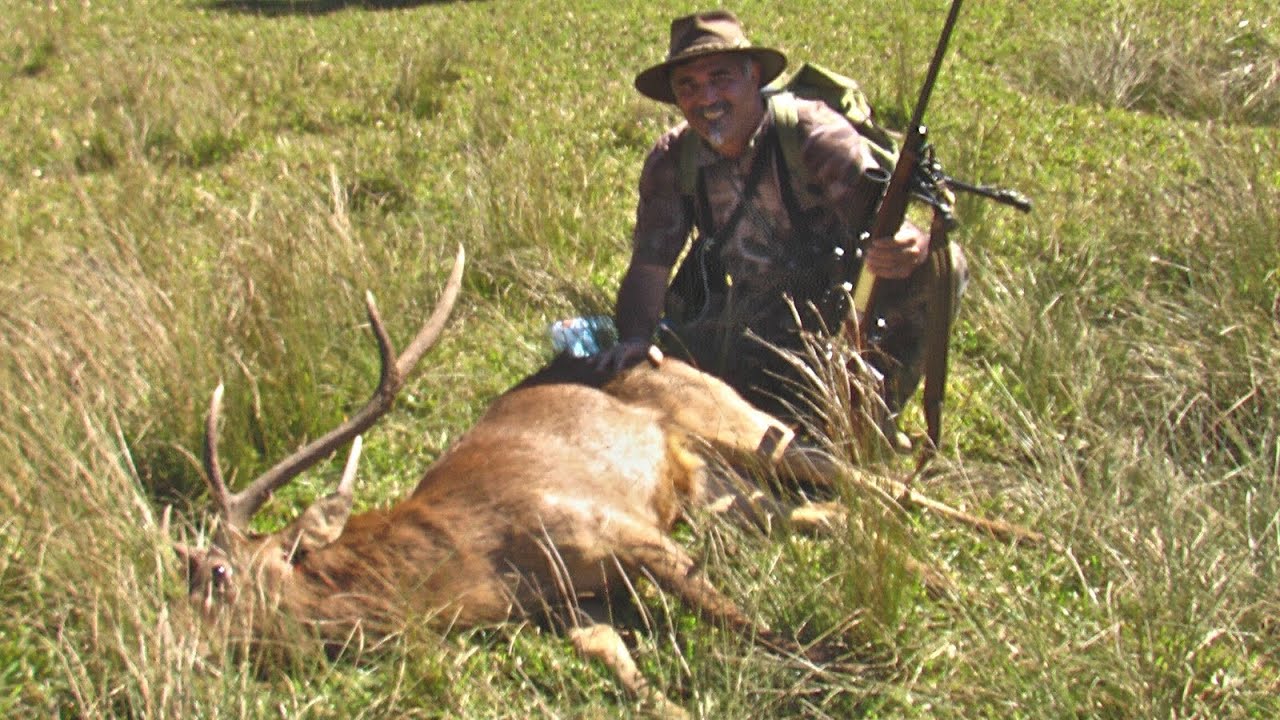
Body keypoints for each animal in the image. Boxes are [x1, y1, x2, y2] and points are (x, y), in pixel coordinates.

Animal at [175, 246, 851, 714]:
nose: (181, 659)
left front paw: (825, 663)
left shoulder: (612, 523)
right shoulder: (563, 604)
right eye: (186, 572)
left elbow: (743, 621)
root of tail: (661, 350)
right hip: (714, 487)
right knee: (814, 513)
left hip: (733, 420)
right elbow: (615, 658)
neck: (483, 570)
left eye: (218, 572)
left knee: (846, 468)